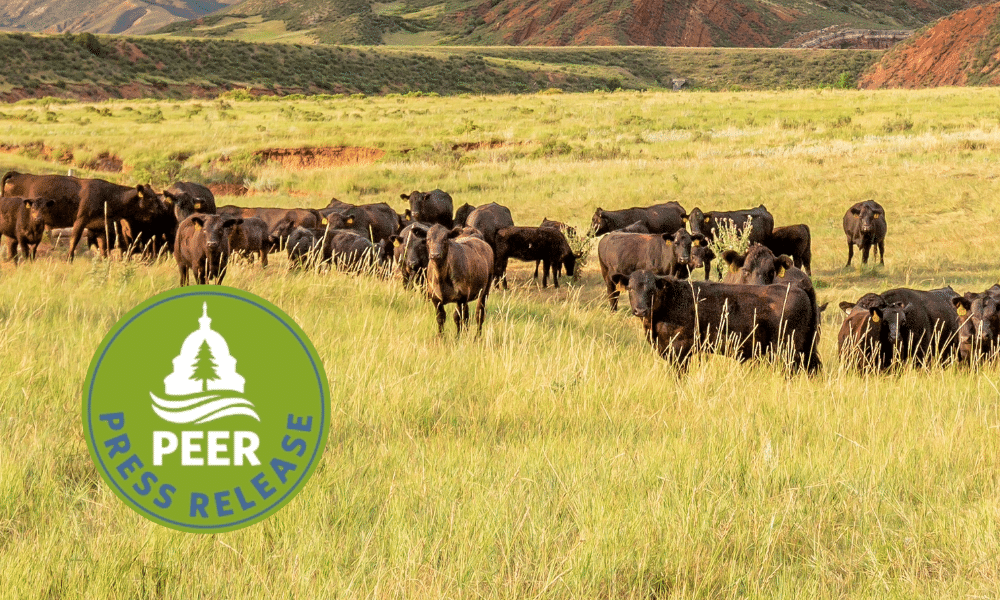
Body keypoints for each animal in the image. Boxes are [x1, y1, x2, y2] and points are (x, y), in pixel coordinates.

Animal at [611, 270, 821, 372]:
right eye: (630, 288)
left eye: (652, 289)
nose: (640, 310)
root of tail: (798, 286)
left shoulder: (680, 350)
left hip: (789, 350)